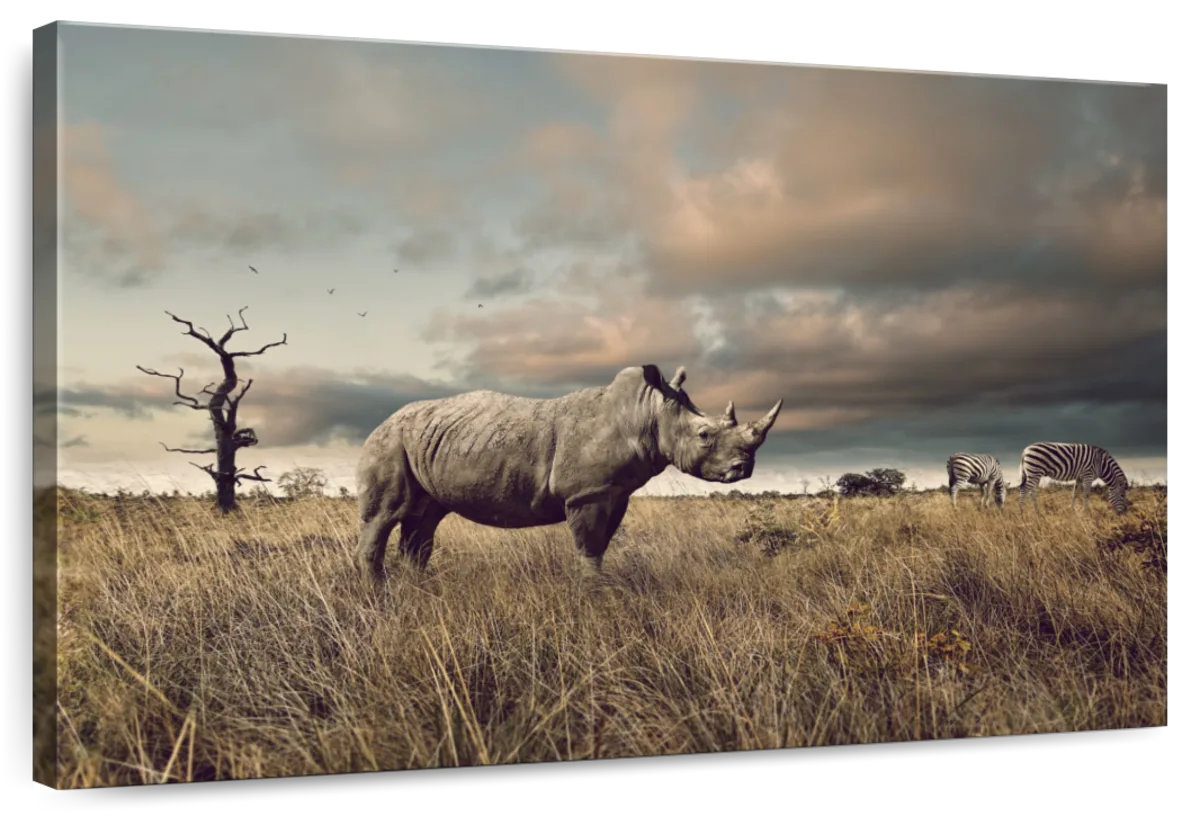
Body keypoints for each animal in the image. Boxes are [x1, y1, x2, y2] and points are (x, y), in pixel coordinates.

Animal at [355, 364, 782, 578]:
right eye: (704, 436)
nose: (744, 468)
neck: (643, 414)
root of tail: (380, 423)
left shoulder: (613, 492)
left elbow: (600, 548)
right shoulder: (586, 493)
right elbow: (589, 551)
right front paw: (595, 601)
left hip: (420, 442)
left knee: (424, 519)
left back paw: (419, 592)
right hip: (388, 442)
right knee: (385, 515)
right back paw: (379, 597)